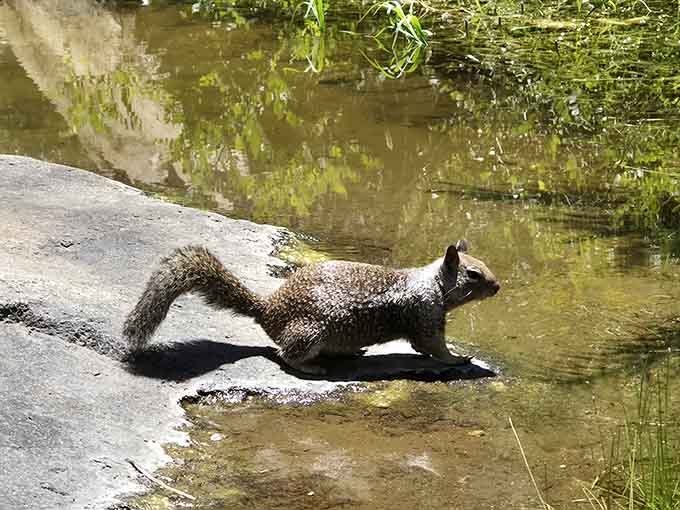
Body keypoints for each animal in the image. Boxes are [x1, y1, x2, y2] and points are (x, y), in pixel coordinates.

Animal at [123, 240, 500, 375]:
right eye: (473, 273)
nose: (498, 286)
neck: (432, 284)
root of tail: (268, 311)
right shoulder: (424, 315)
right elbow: (433, 346)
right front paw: (458, 359)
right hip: (310, 332)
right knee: (284, 355)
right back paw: (312, 367)